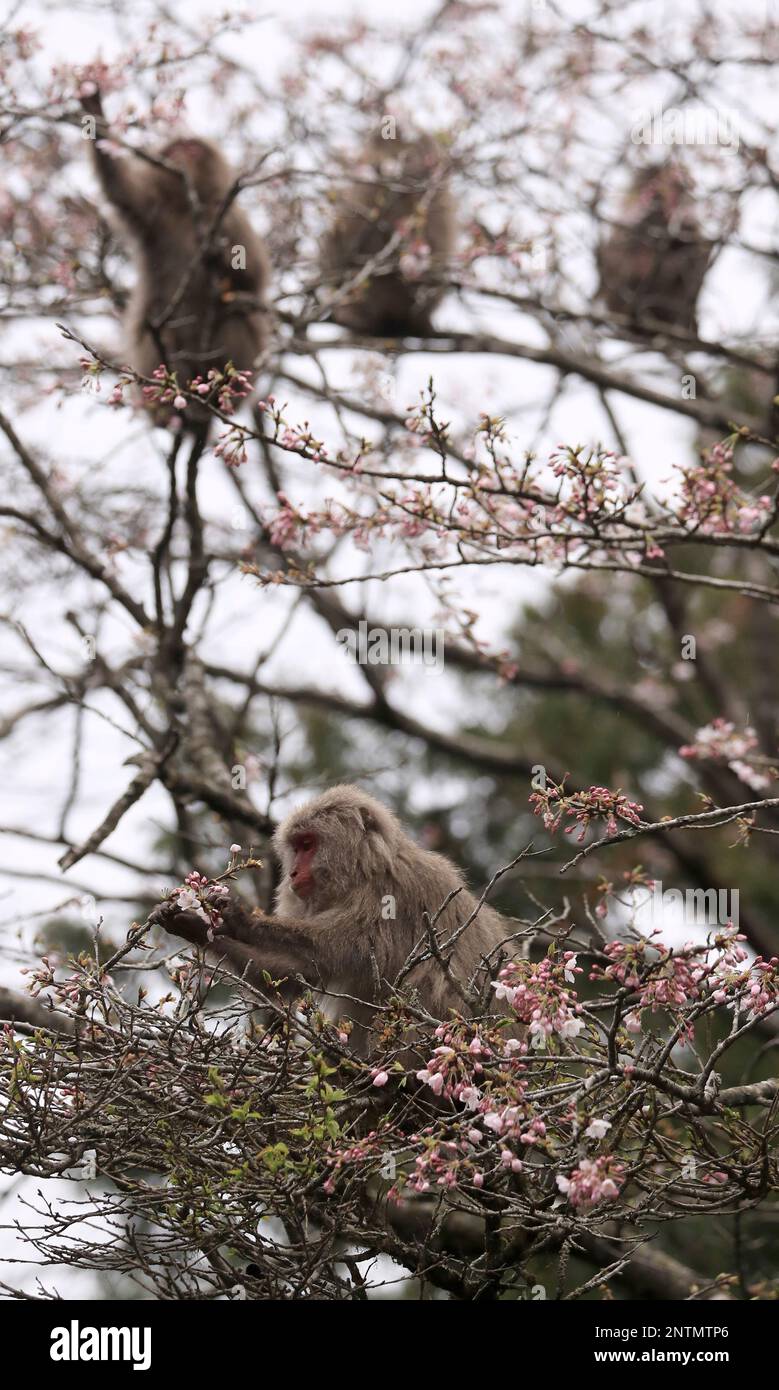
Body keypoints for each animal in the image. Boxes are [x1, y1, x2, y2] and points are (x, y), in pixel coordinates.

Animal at [80, 88, 270, 420]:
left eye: (192, 149)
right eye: (175, 150)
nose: (181, 155)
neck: (185, 207)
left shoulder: (230, 216)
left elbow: (254, 277)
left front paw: (218, 254)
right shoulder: (152, 211)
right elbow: (121, 190)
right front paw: (97, 115)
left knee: (239, 312)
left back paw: (223, 390)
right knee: (152, 325)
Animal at [152, 784, 519, 1057]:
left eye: (308, 844)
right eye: (296, 847)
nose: (293, 873)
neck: (363, 873)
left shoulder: (395, 893)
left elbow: (343, 948)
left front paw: (242, 921)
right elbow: (295, 972)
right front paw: (194, 927)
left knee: (426, 985)